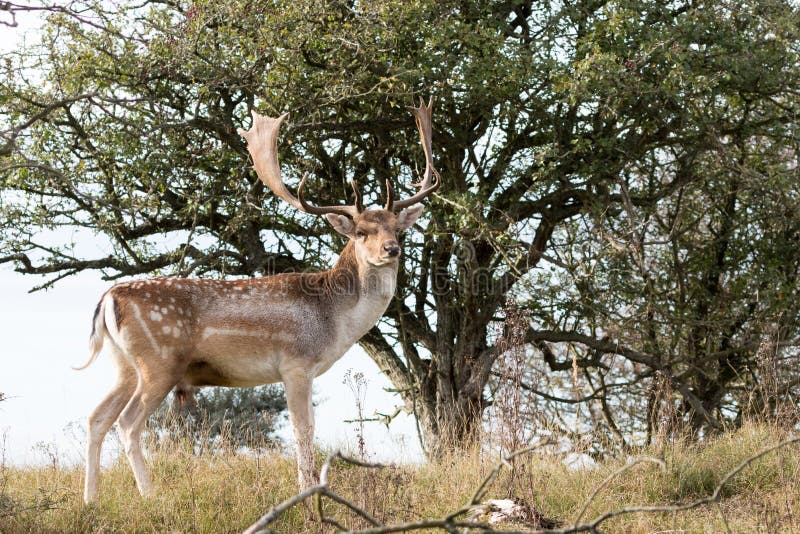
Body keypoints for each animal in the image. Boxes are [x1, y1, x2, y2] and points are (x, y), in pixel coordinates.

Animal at [77, 98, 440, 504]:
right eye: (361, 232)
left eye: (398, 228)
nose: (391, 249)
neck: (334, 319)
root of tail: (109, 297)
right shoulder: (296, 363)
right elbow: (303, 430)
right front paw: (306, 493)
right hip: (159, 361)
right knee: (128, 423)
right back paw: (151, 497)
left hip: (124, 364)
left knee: (96, 417)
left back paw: (90, 501)